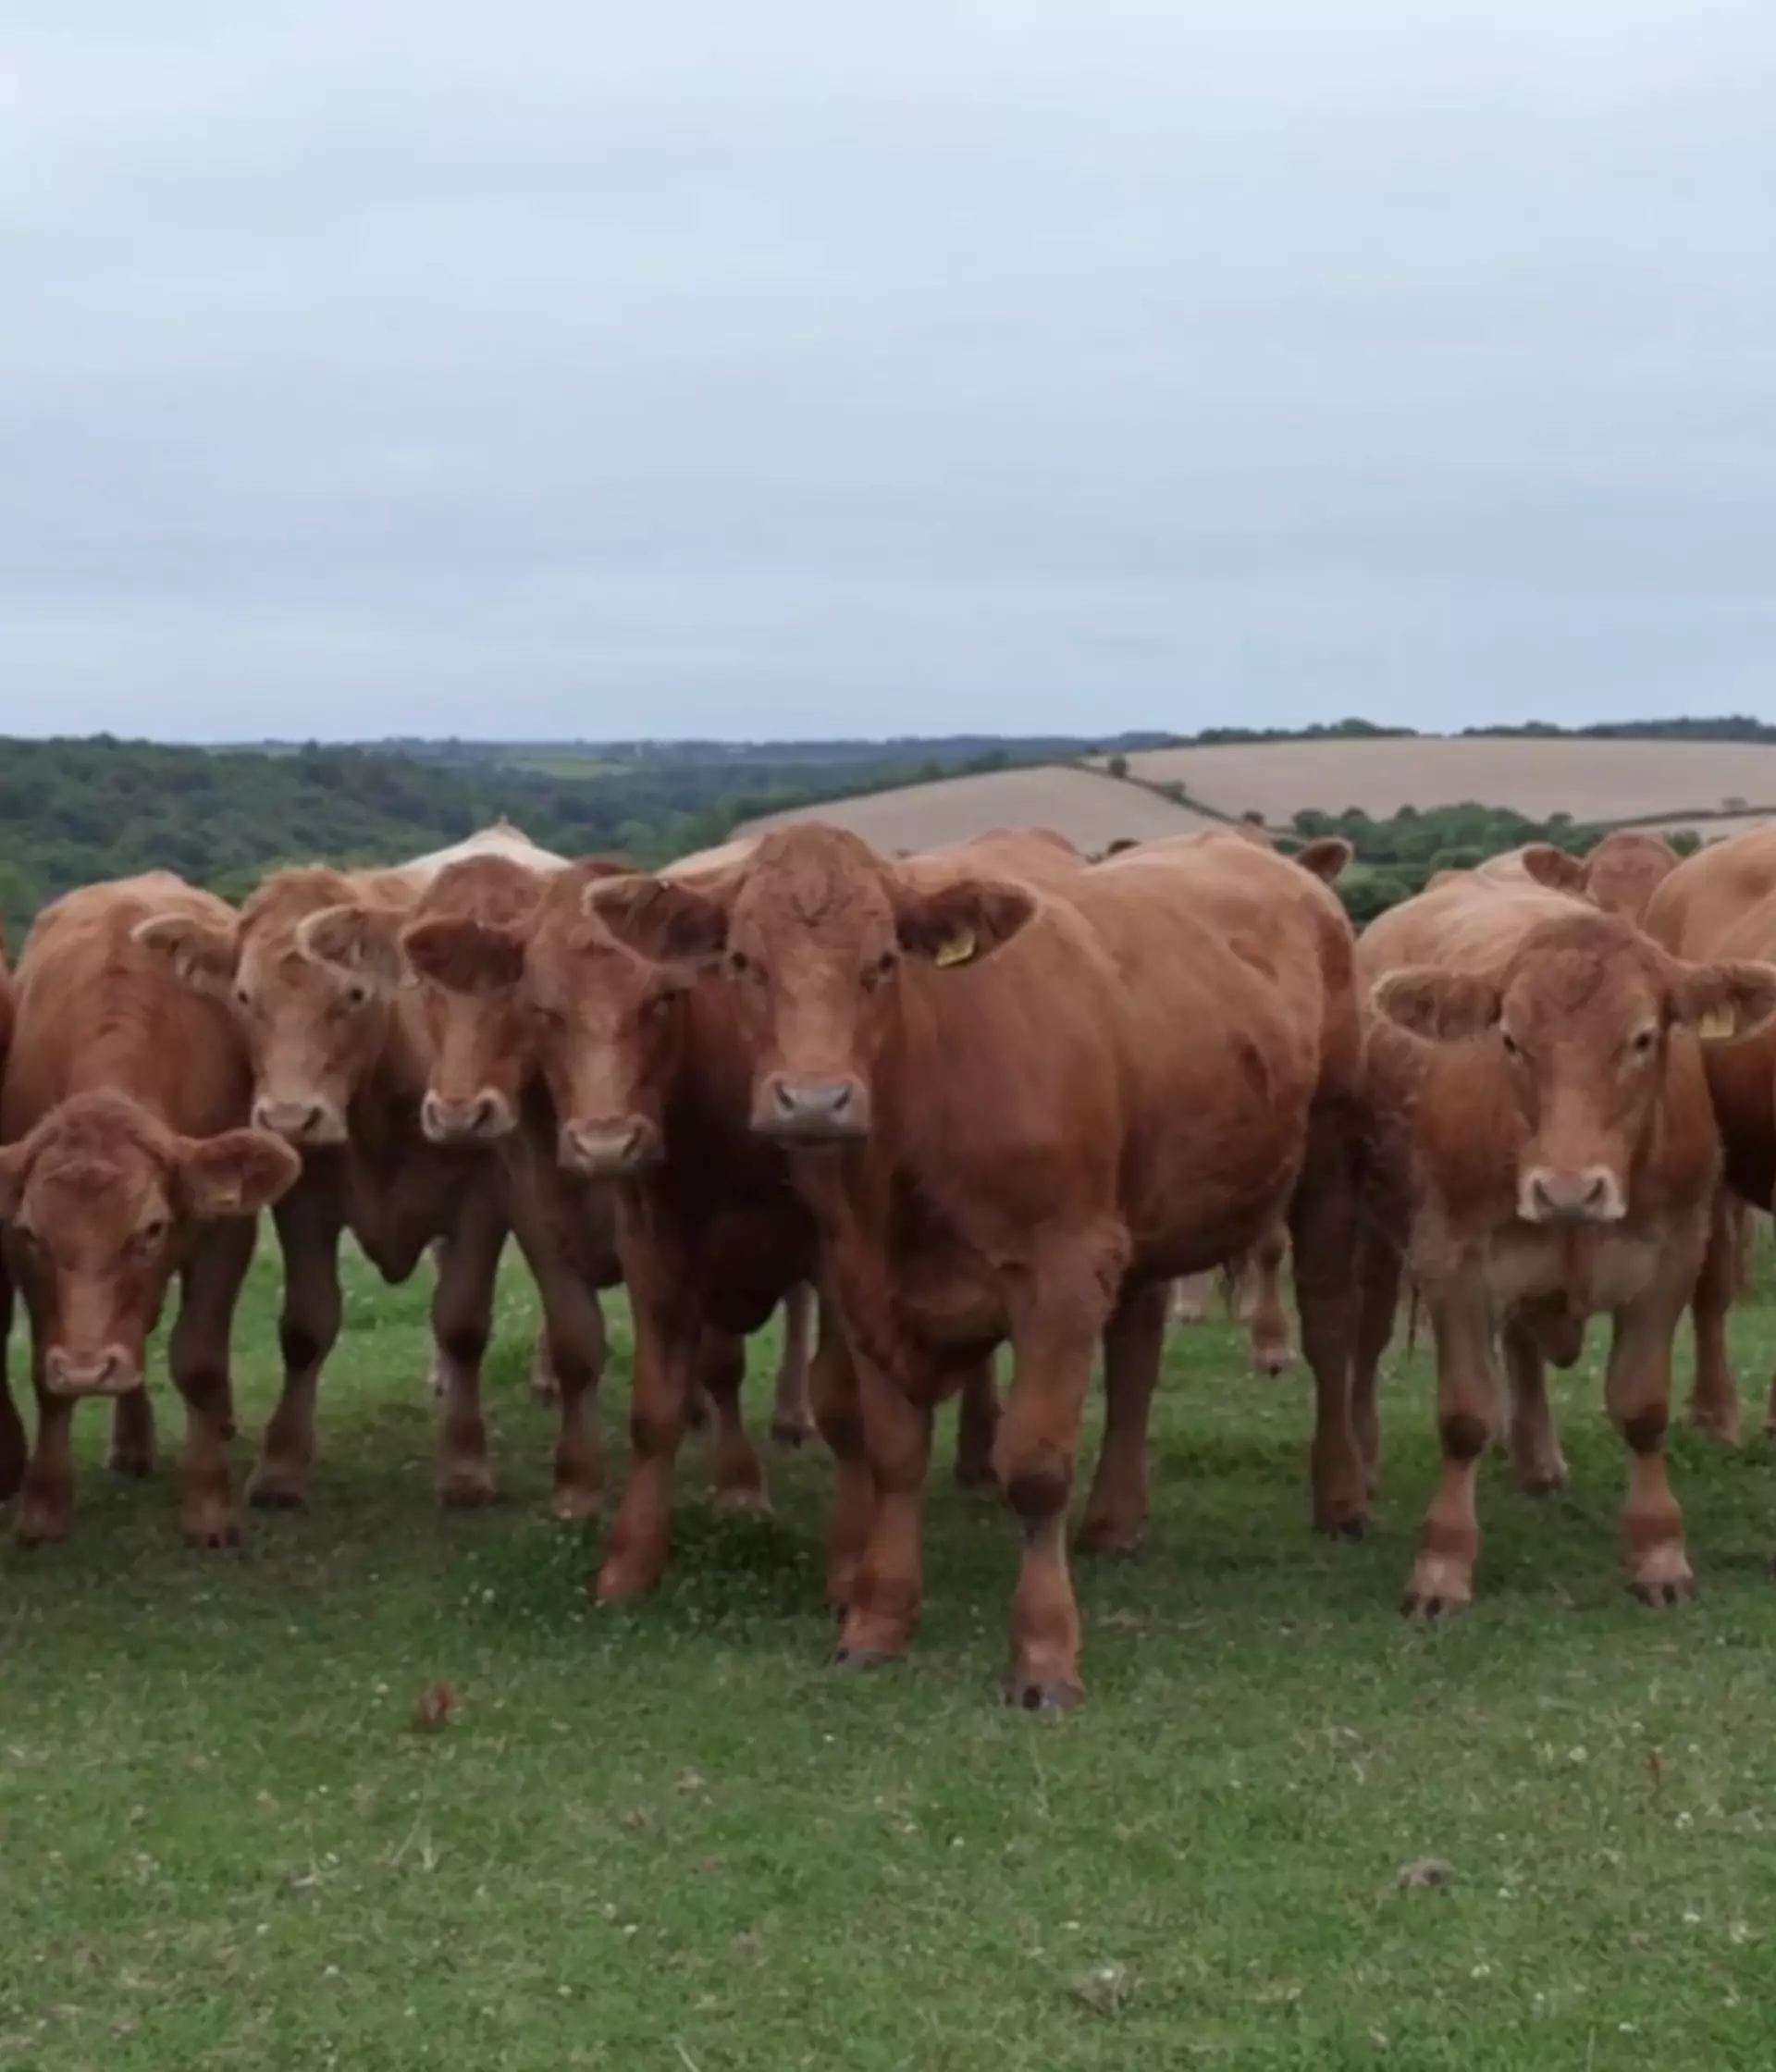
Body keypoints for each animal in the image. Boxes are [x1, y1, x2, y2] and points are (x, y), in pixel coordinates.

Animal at [0, 876, 300, 1543]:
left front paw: (208, 1505)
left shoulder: (225, 1229)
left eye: (152, 1228)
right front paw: (43, 1504)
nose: (89, 1370)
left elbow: (199, 1360)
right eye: (34, 1230)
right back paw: (133, 1441)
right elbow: (45, 1375)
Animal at [132, 825, 608, 1514]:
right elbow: (306, 1326)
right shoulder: (303, 1199)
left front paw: (464, 1467)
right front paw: (280, 1467)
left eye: (352, 996)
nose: (289, 1116)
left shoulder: (483, 1197)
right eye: (244, 997)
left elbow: (462, 1321)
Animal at [574, 820, 1368, 1707]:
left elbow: (1036, 1466)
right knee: (1136, 1358)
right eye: (743, 961)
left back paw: (1341, 1495)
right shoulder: (861, 1282)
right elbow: (892, 1456)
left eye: (885, 960)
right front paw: (878, 1621)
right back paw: (1114, 1519)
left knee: (1330, 1326)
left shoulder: (1062, 1272)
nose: (814, 1101)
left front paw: (1045, 1654)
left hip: (1327, 1167)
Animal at [1353, 867, 1776, 1617]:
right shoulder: (1451, 1264)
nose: (1567, 1190)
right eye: (1510, 1041)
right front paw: (1442, 1563)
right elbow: (1464, 1416)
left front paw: (1659, 1553)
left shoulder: (1672, 1260)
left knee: (1523, 1348)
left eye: (1643, 1038)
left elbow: (1642, 1408)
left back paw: (1538, 1458)